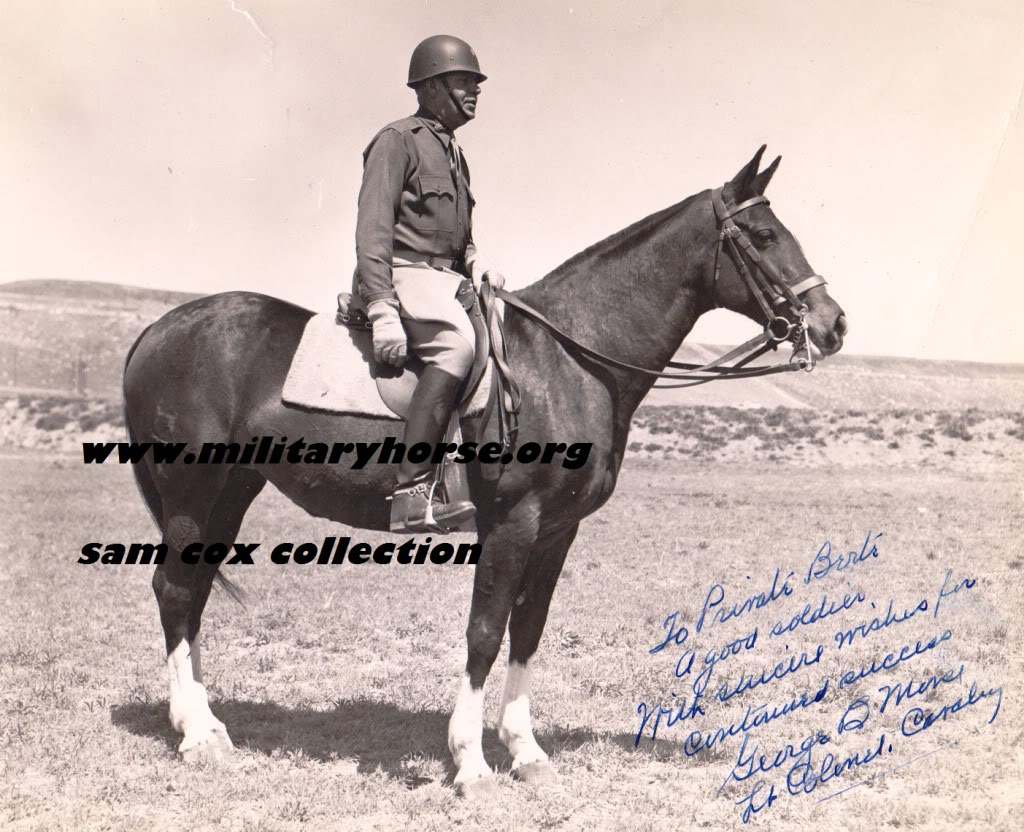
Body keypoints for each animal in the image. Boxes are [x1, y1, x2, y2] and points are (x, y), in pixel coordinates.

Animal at [122, 146, 846, 797]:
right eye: (763, 235)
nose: (833, 324)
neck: (569, 358)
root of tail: (159, 330)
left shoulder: (557, 530)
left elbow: (528, 629)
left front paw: (525, 752)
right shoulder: (513, 524)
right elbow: (485, 631)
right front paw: (470, 763)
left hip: (231, 492)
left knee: (194, 593)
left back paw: (208, 726)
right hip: (192, 493)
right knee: (175, 591)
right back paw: (195, 736)